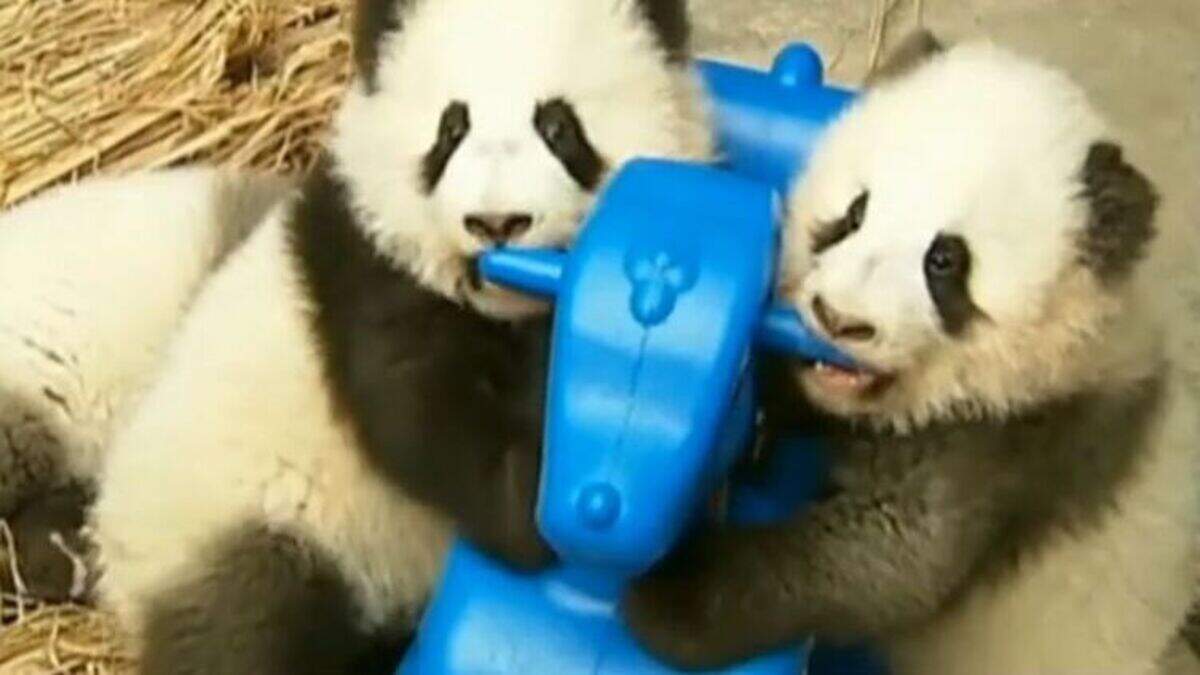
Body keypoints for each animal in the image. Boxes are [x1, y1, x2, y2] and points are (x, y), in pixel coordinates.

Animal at [88, 0, 711, 672]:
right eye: (451, 129)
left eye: (558, 126)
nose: (496, 223)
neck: (508, 306)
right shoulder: (368, 270)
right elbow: (425, 417)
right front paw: (530, 511)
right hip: (242, 515)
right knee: (249, 626)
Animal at [622, 33, 1200, 675]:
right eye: (853, 214)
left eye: (944, 260)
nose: (837, 318)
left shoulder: (1016, 444)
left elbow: (892, 558)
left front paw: (670, 591)